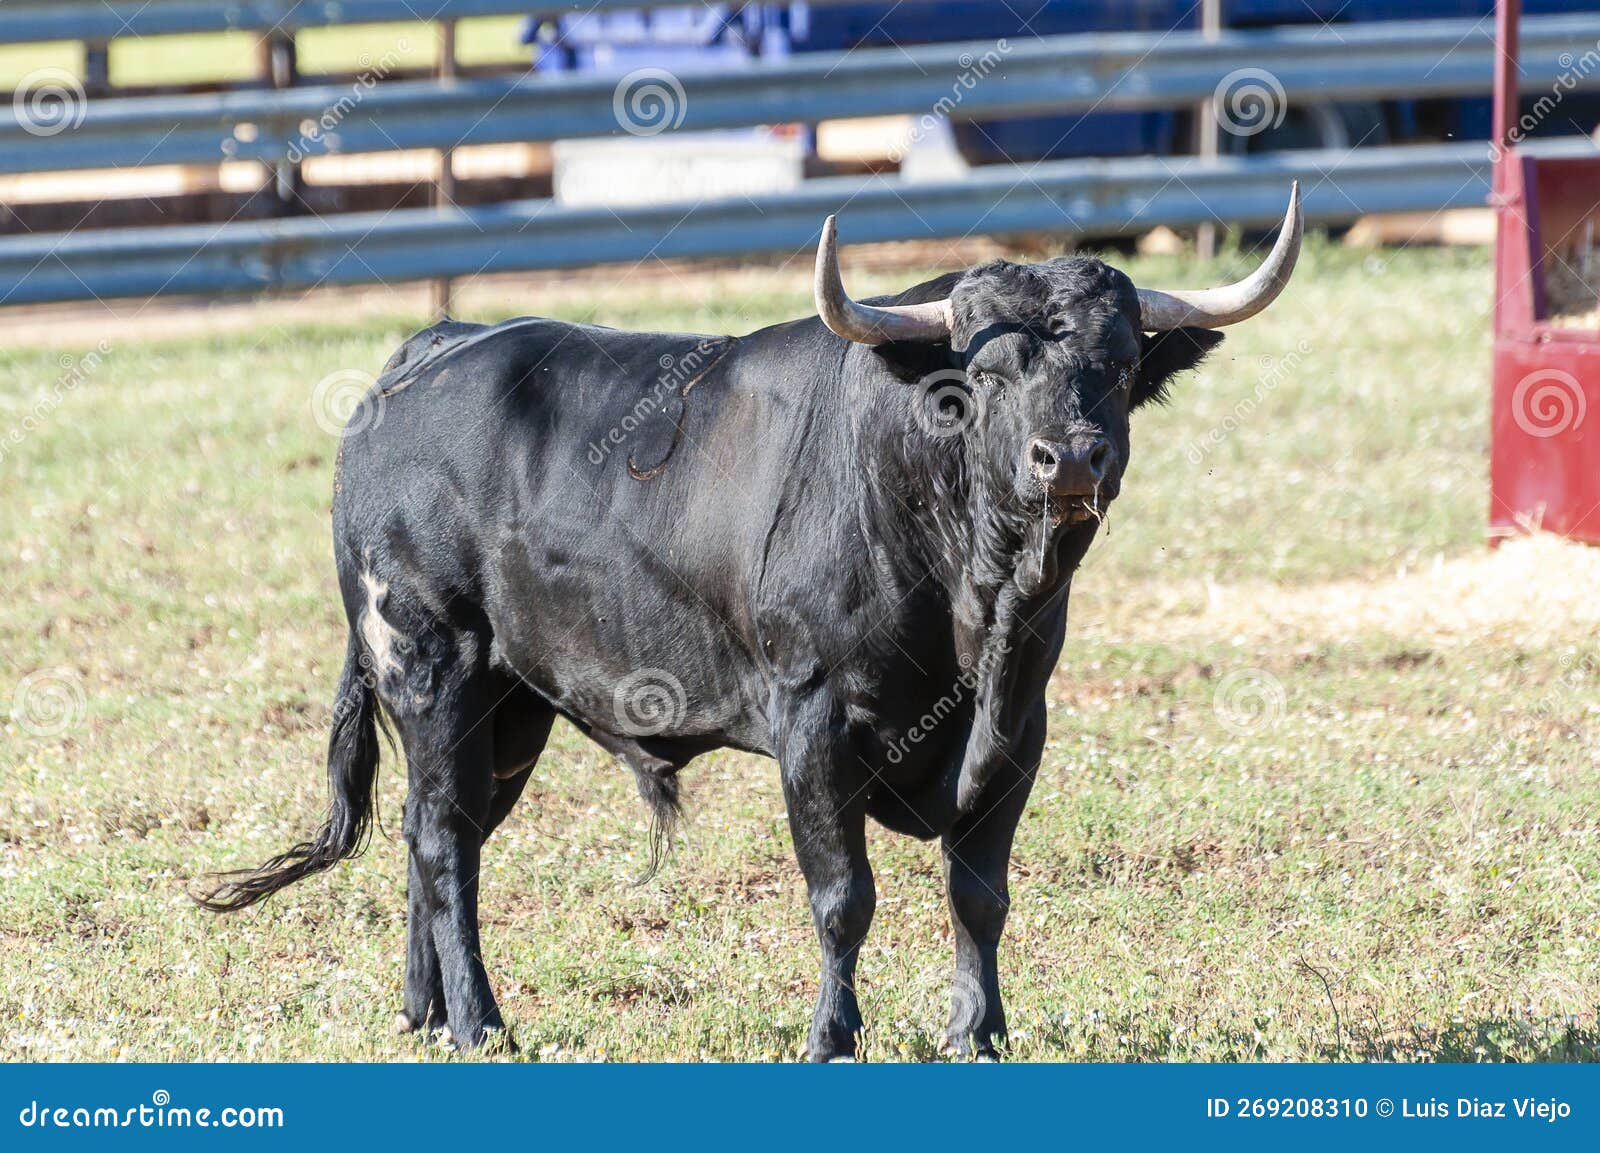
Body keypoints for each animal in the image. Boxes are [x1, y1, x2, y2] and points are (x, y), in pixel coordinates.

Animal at [200, 186, 1303, 1061]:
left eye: (1117, 364)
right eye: (982, 378)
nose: (1068, 458)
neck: (974, 600)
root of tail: (425, 352)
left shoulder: (1019, 730)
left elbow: (978, 893)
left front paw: (978, 1034)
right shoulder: (812, 725)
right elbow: (842, 894)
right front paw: (833, 1037)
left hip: (509, 708)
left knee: (438, 838)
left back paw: (421, 1011)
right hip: (433, 668)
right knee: (440, 840)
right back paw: (478, 1023)